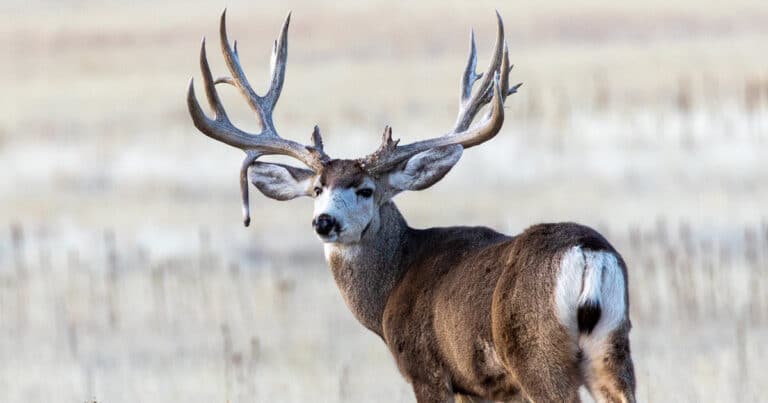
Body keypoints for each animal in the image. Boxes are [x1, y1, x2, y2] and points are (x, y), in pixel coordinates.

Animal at [186, 10, 636, 403]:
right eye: (316, 189)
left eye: (366, 189)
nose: (324, 222)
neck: (392, 285)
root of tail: (588, 253)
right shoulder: (486, 387)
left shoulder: (427, 368)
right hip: (613, 351)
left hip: (537, 355)